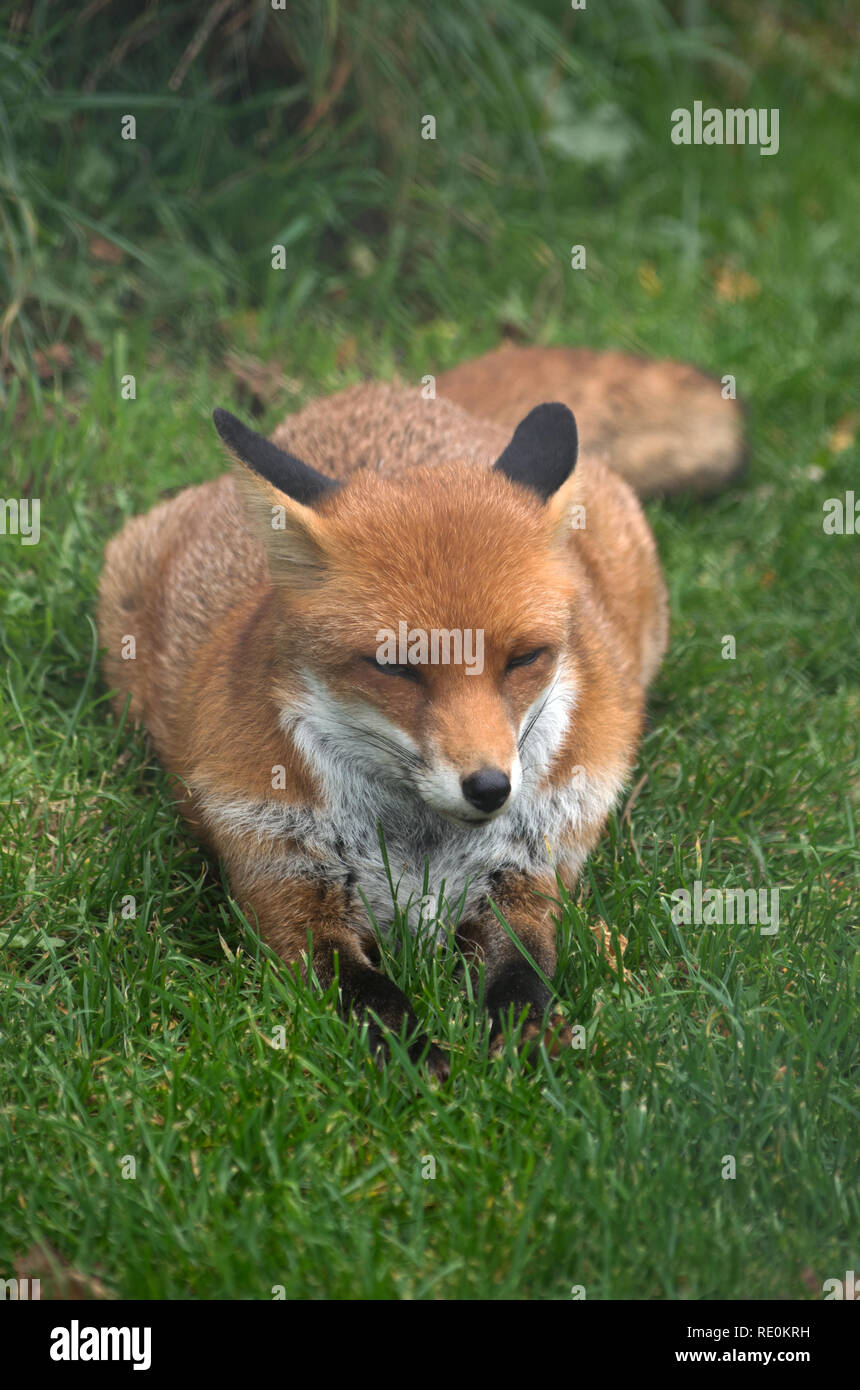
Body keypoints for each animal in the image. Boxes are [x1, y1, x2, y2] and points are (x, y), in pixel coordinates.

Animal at [98, 343, 744, 1078]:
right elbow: (368, 996)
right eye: (396, 666)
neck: (424, 850)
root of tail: (401, 393)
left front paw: (521, 1046)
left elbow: (524, 975)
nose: (489, 788)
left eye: (525, 659)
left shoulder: (528, 883)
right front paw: (420, 1061)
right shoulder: (286, 893)